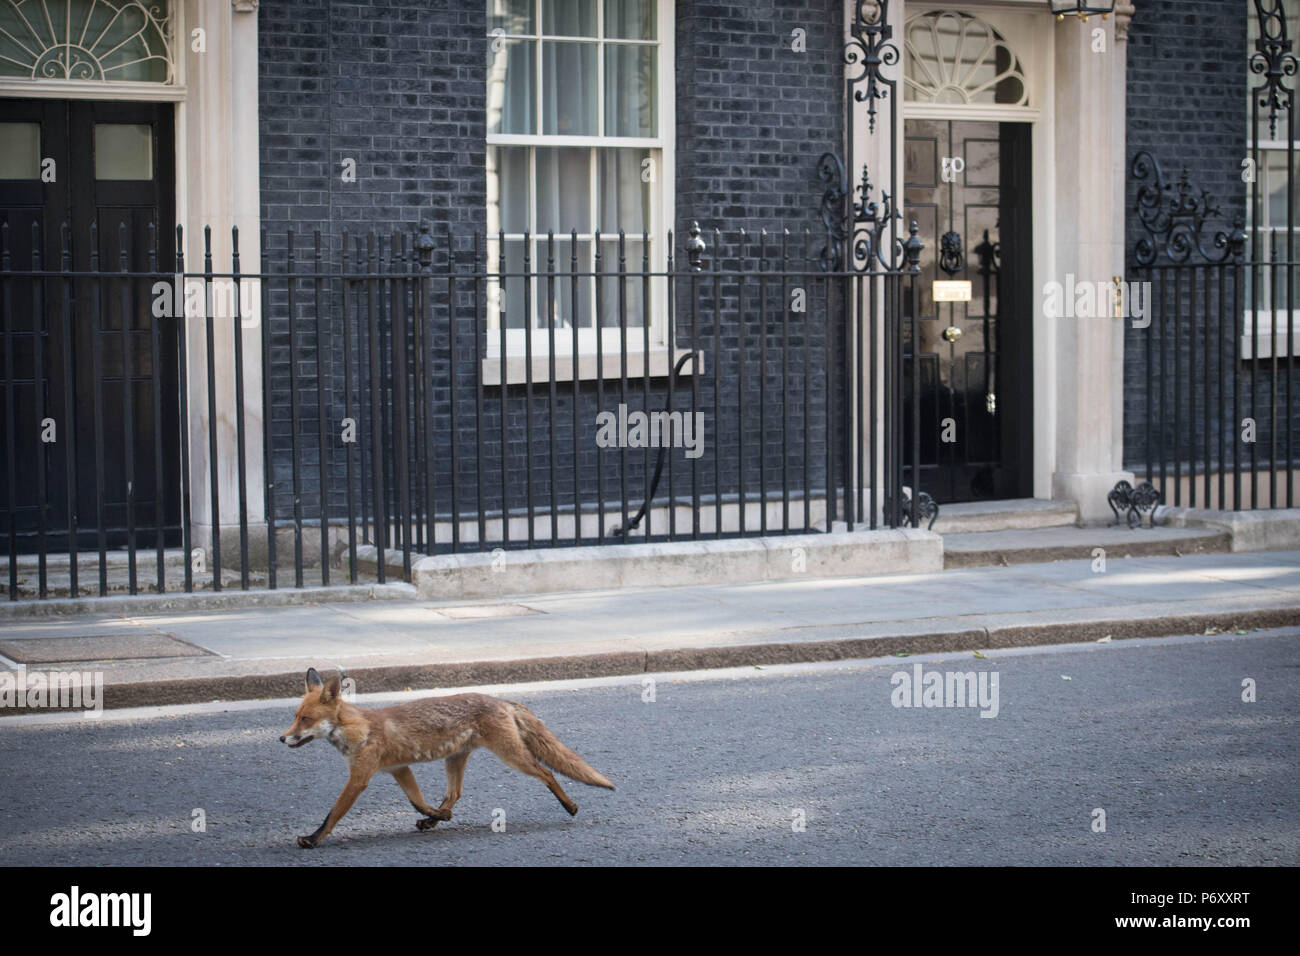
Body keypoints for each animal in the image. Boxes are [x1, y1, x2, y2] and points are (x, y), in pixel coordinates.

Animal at [279, 668, 614, 848]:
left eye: (306, 719)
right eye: (295, 717)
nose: (281, 738)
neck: (358, 729)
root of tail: (499, 699)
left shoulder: (360, 778)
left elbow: (333, 814)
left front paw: (313, 839)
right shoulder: (400, 769)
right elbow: (417, 801)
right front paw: (437, 816)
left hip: (511, 755)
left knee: (547, 774)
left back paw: (569, 806)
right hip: (455, 759)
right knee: (454, 794)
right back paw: (435, 819)